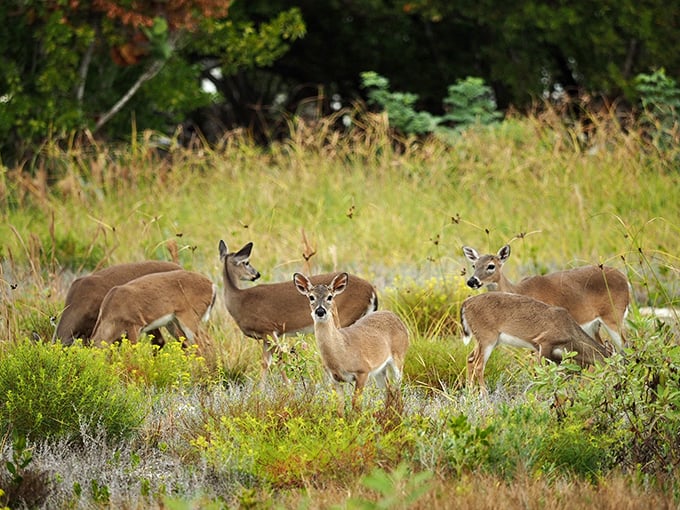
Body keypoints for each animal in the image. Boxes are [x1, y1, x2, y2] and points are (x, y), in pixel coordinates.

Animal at [219, 240, 379, 382]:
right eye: (246, 262)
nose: (256, 274)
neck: (239, 301)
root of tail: (372, 291)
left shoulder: (269, 328)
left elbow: (280, 359)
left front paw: (288, 388)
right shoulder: (266, 336)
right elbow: (265, 363)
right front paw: (259, 391)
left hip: (345, 319)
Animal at [294, 272, 410, 414]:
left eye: (330, 297)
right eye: (311, 297)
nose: (320, 311)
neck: (341, 353)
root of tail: (396, 318)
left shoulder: (363, 371)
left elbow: (356, 404)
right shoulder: (334, 379)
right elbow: (339, 407)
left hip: (399, 357)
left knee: (398, 390)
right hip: (380, 370)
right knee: (388, 391)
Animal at [461, 292, 611, 391]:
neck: (570, 332)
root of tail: (466, 304)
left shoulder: (557, 357)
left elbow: (558, 375)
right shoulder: (544, 342)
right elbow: (542, 374)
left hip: (482, 340)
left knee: (470, 359)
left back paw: (470, 393)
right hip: (488, 338)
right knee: (479, 366)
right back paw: (484, 396)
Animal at [462, 244, 630, 352]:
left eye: (491, 266)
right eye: (474, 265)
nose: (472, 281)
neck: (518, 290)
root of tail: (625, 280)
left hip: (613, 316)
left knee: (625, 345)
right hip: (594, 325)